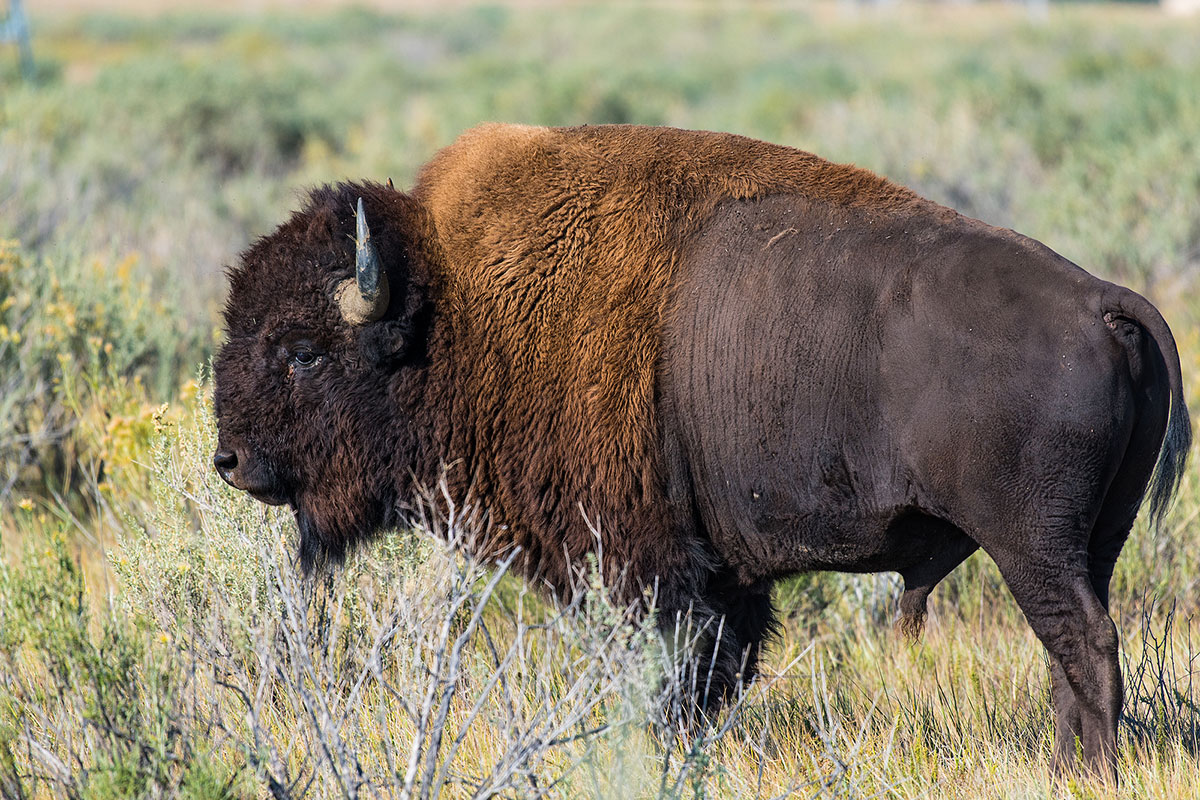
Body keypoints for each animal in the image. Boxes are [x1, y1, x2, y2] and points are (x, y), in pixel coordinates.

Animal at [213, 124, 1190, 779]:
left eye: (302, 350)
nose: (229, 460)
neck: (459, 311)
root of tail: (1102, 300)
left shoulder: (648, 571)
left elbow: (675, 680)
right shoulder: (721, 578)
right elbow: (716, 676)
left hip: (1030, 543)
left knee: (1084, 645)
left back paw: (1087, 774)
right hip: (1092, 543)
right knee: (1078, 648)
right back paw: (1067, 769)